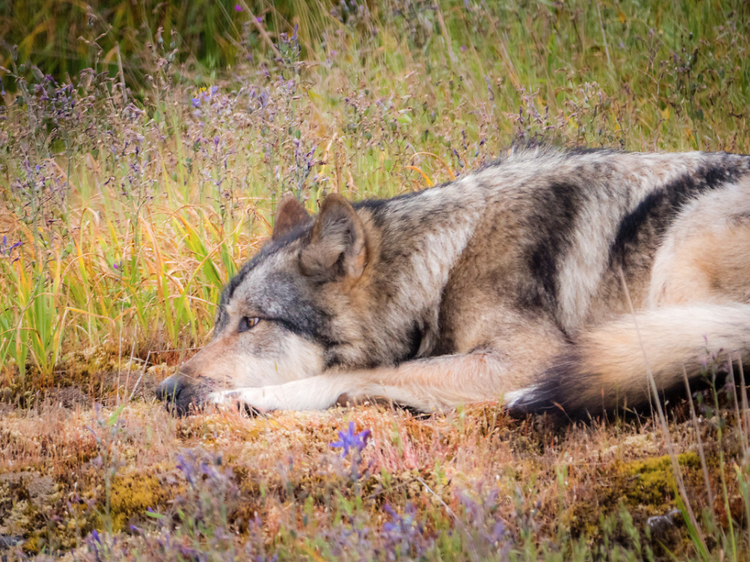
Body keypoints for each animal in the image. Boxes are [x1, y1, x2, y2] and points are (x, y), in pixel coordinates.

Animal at [156, 147, 750, 421]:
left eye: (252, 322)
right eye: (221, 322)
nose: (165, 391)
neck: (447, 263)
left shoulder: (527, 356)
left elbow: (366, 371)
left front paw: (248, 397)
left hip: (681, 247)